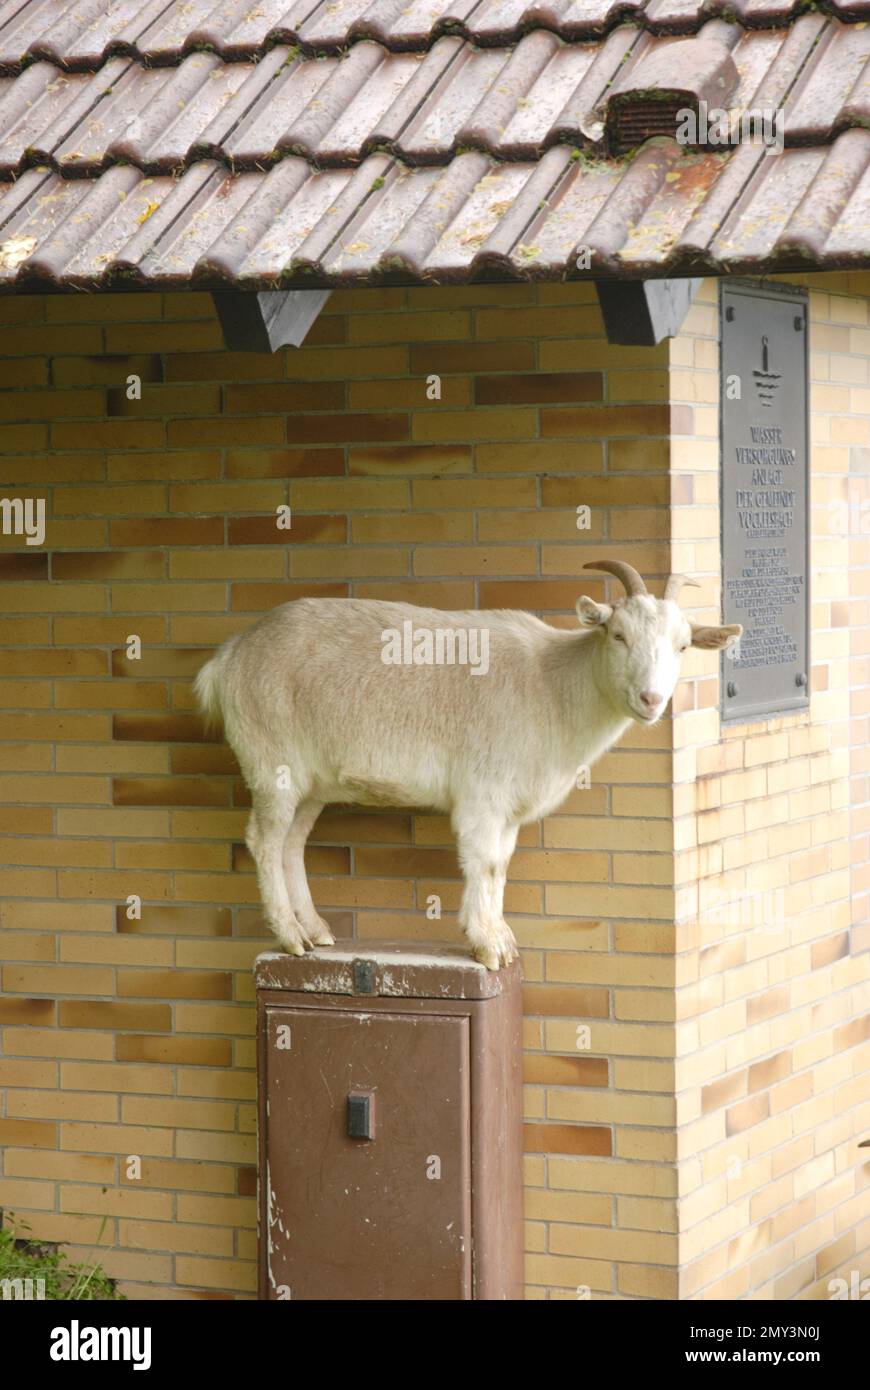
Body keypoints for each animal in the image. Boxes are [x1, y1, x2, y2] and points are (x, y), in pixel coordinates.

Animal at [193, 561, 741, 969]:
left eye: (683, 645)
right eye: (618, 635)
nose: (652, 700)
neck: (552, 685)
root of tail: (228, 658)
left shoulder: (509, 809)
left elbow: (501, 866)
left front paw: (501, 936)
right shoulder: (483, 795)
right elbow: (485, 862)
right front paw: (486, 945)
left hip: (312, 782)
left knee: (292, 843)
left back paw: (315, 930)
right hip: (272, 762)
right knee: (265, 841)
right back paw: (289, 936)